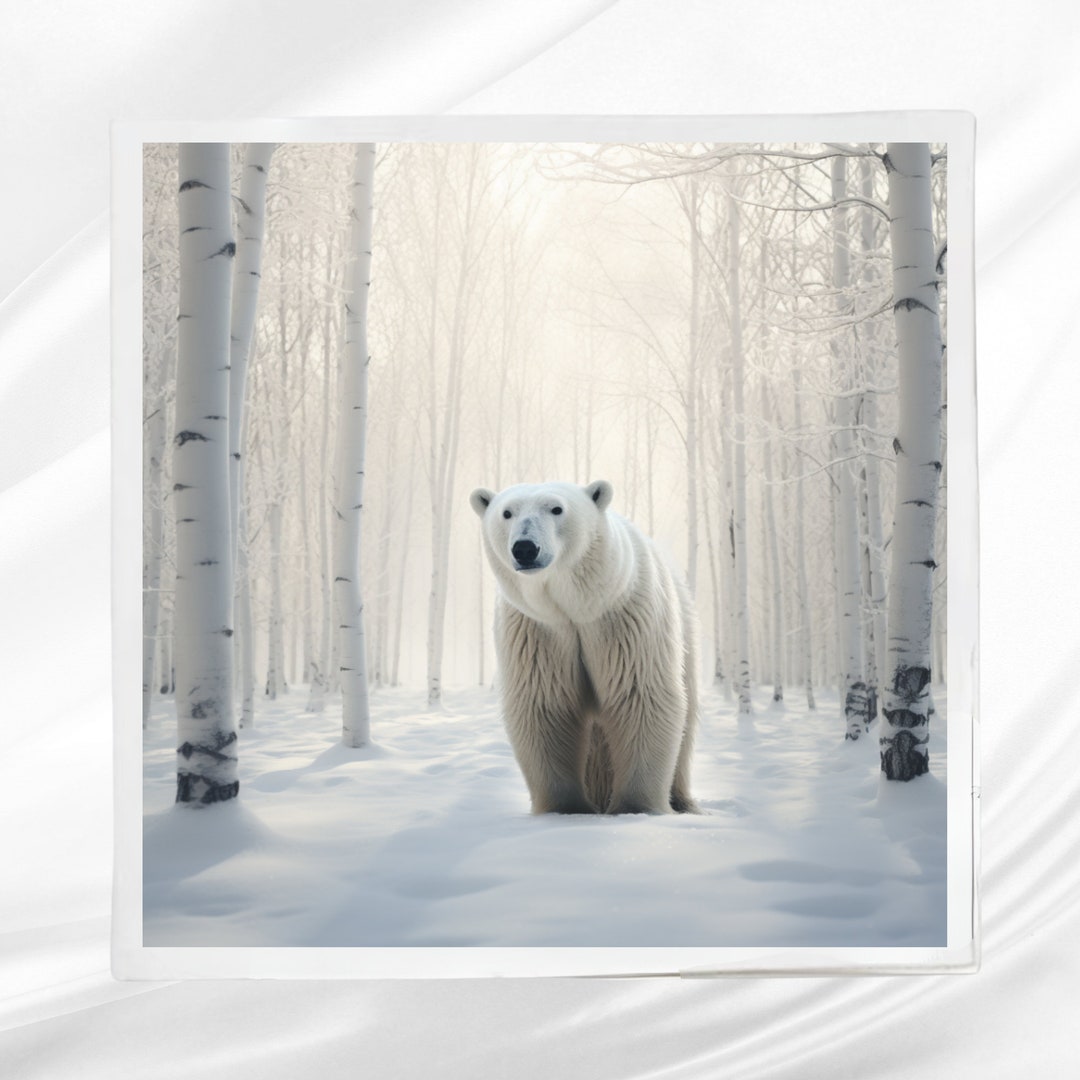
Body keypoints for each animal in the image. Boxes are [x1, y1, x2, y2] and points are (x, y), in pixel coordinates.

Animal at [469, 479, 699, 815]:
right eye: (507, 513)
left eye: (556, 508)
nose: (525, 548)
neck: (575, 607)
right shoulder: (537, 630)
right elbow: (545, 705)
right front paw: (565, 808)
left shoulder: (623, 617)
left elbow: (640, 696)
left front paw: (636, 807)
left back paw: (682, 801)